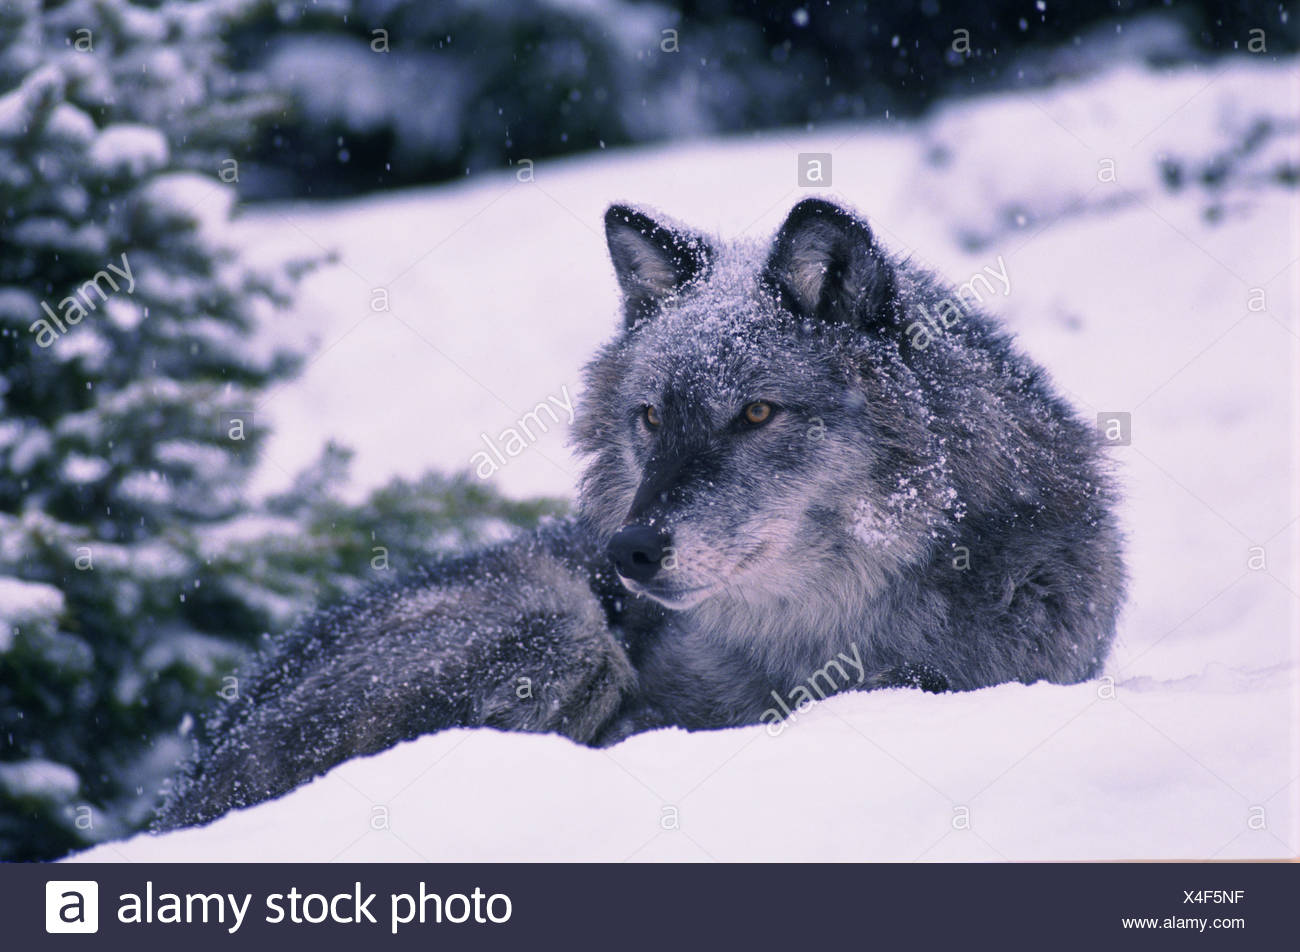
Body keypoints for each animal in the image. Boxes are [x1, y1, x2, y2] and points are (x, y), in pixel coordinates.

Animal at [156, 197, 1124, 829]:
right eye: (651, 417)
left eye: (756, 413)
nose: (628, 550)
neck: (825, 643)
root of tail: (191, 782)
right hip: (557, 621)